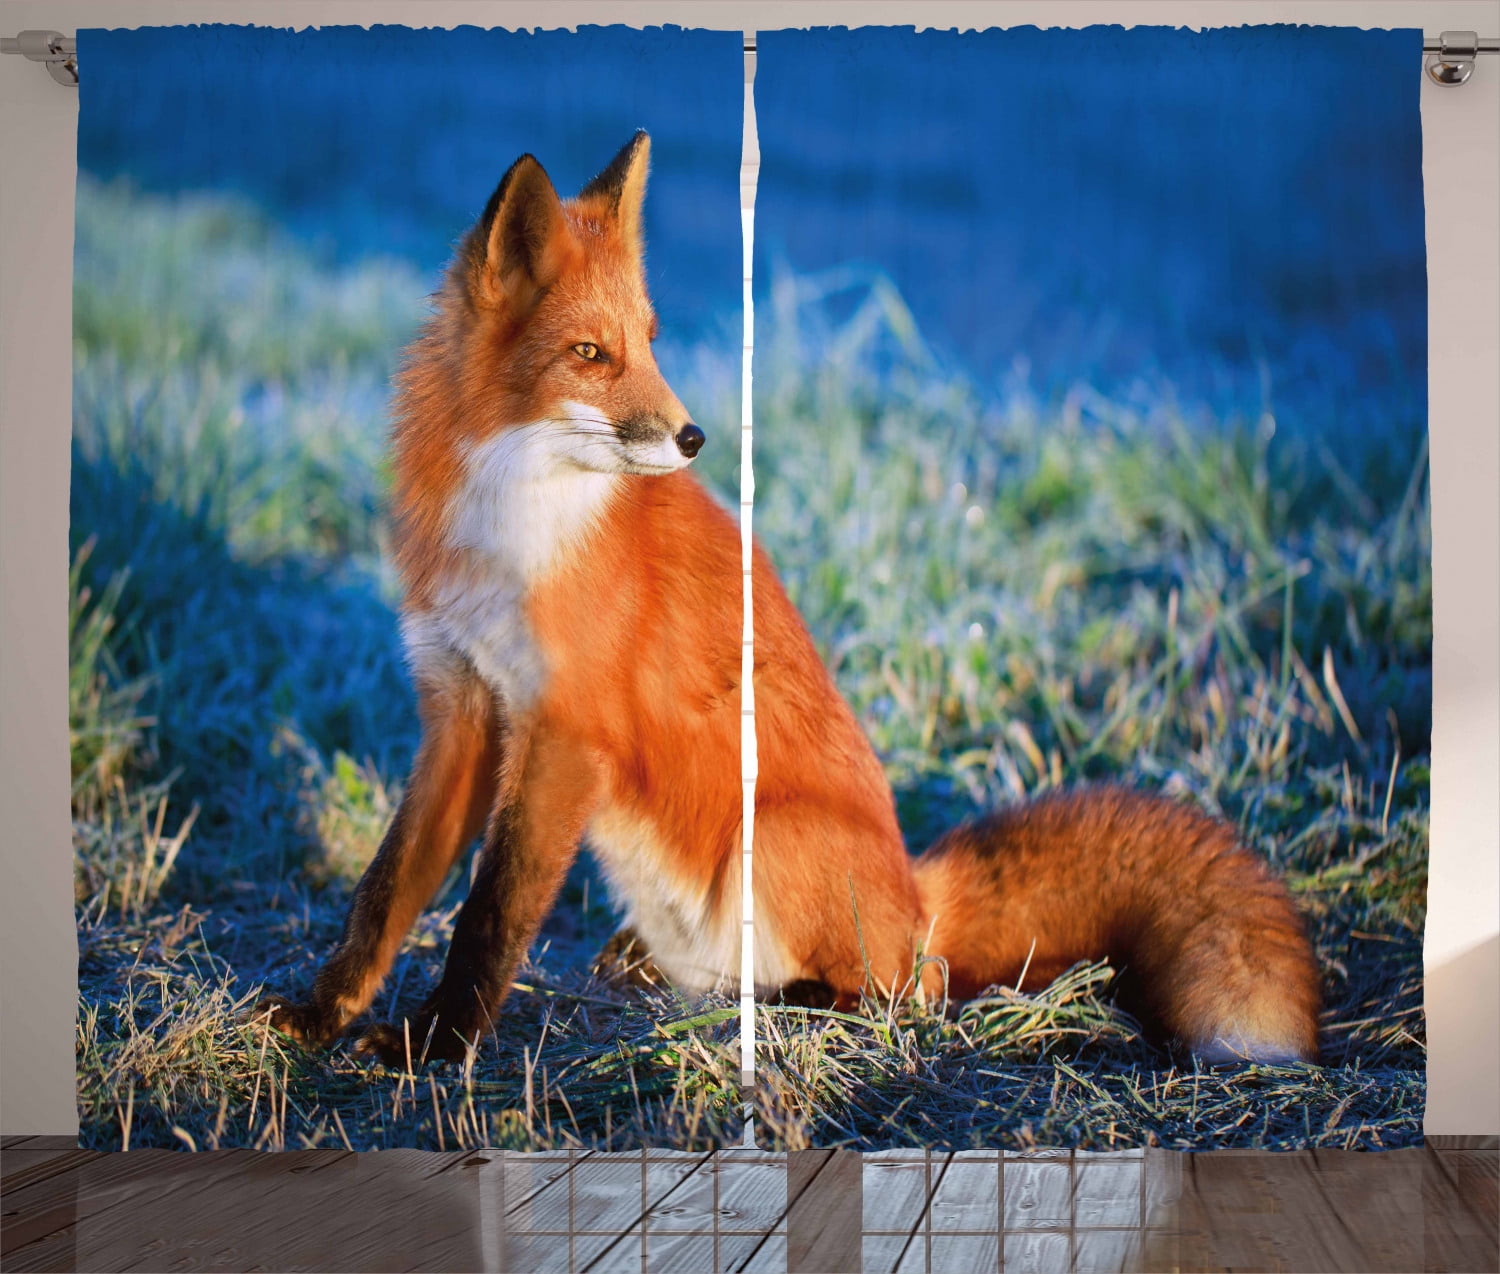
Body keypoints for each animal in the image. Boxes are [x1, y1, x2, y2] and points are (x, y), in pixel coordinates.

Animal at [260, 132, 1321, 1068]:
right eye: (591, 354)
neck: (512, 524)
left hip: (768, 833)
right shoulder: (462, 708)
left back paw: (790, 1006)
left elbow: (491, 913)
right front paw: (321, 1014)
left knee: (902, 993)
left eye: (650, 341)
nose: (694, 437)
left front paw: (434, 1048)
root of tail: (918, 894)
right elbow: (386, 889)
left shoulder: (564, 732)